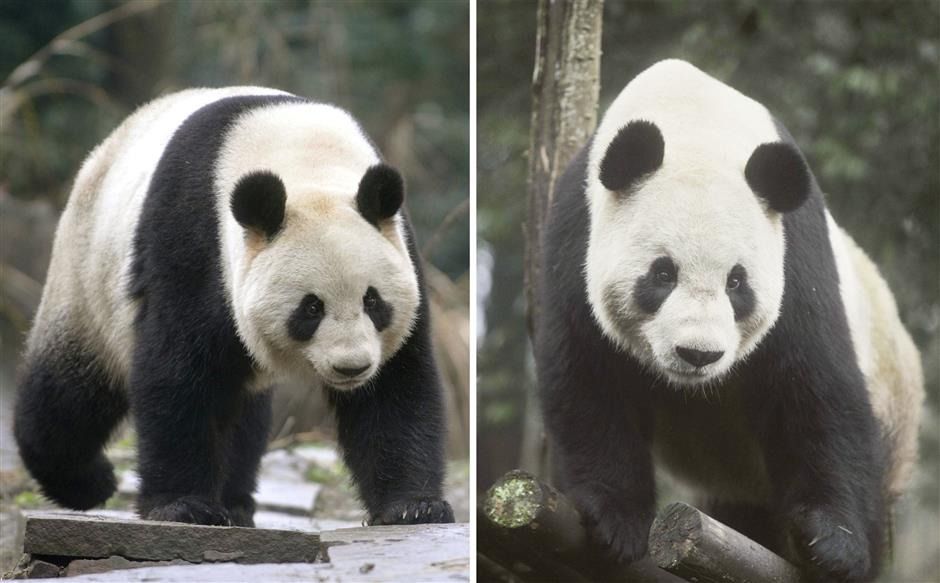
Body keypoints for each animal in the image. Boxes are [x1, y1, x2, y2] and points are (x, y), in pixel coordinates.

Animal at [14, 87, 454, 527]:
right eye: (311, 308)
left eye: (372, 300)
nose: (352, 368)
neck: (306, 160)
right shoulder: (192, 238)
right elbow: (176, 371)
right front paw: (183, 506)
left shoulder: (401, 248)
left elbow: (395, 388)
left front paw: (413, 507)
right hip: (88, 272)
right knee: (73, 389)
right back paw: (86, 481)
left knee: (241, 416)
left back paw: (235, 501)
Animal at [536, 60, 923, 582]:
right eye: (662, 274)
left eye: (737, 283)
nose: (698, 354)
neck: (693, 121)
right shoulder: (577, 233)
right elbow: (589, 376)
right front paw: (616, 521)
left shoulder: (796, 254)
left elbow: (816, 385)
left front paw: (829, 542)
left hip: (892, 409)